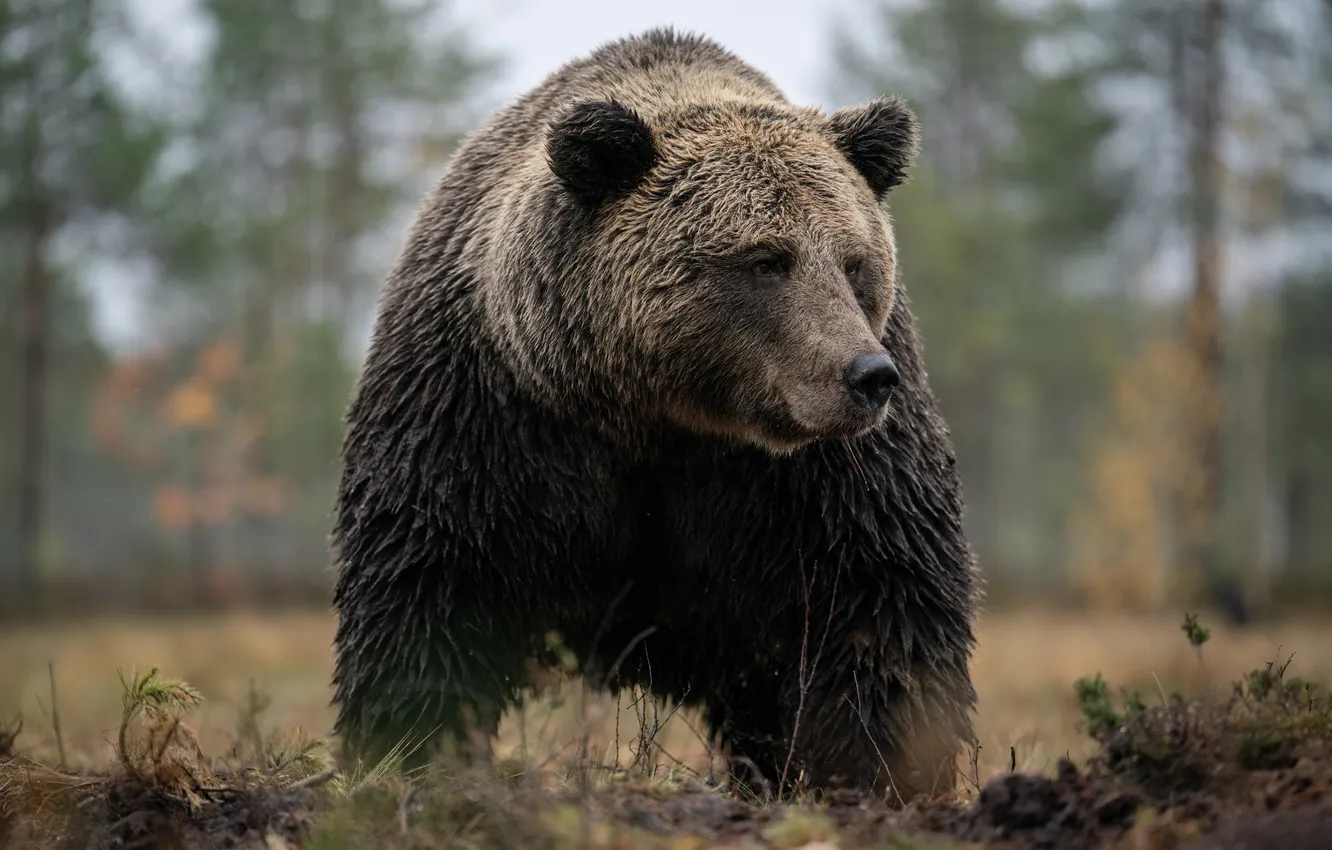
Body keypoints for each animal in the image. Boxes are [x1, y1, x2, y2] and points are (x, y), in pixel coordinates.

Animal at [329, 27, 980, 804]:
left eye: (855, 263)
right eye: (767, 259)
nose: (865, 376)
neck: (661, 417)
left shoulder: (816, 477)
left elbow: (877, 589)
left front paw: (879, 773)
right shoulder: (488, 412)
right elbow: (430, 579)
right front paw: (413, 755)